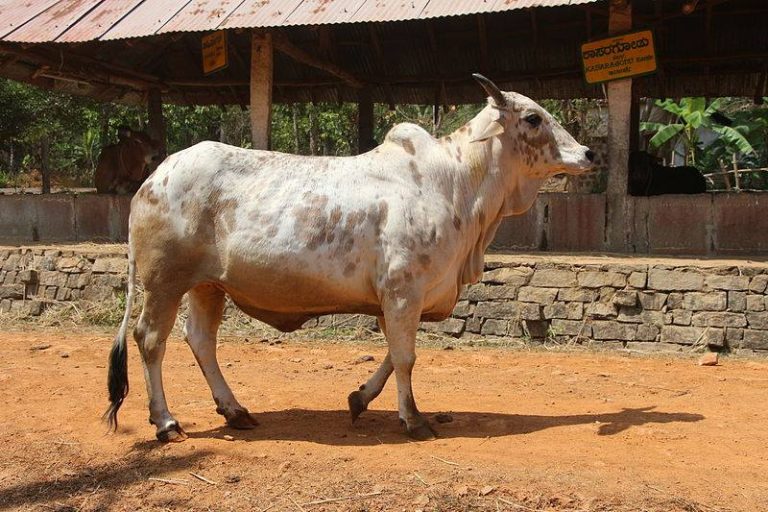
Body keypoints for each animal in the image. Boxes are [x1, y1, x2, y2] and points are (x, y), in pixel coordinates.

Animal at [105, 75, 595, 442]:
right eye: (532, 117)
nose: (588, 153)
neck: (455, 184)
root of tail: (154, 177)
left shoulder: (401, 299)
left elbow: (394, 355)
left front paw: (359, 399)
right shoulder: (402, 292)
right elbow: (405, 357)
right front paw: (413, 419)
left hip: (208, 286)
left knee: (201, 341)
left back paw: (236, 410)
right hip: (165, 282)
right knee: (151, 339)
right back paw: (166, 422)